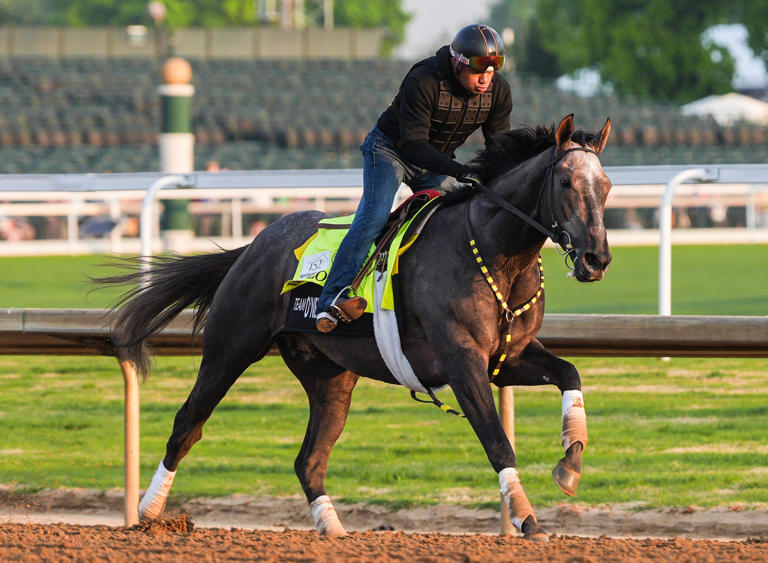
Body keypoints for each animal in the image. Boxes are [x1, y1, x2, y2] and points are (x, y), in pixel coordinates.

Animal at [100, 114, 612, 541]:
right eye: (565, 181)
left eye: (605, 186)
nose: (596, 259)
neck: (492, 252)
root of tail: (254, 244)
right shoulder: (462, 360)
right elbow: (498, 442)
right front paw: (527, 519)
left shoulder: (505, 358)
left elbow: (569, 373)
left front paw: (571, 461)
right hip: (231, 347)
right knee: (188, 424)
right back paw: (148, 514)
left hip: (330, 377)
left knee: (308, 461)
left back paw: (334, 531)